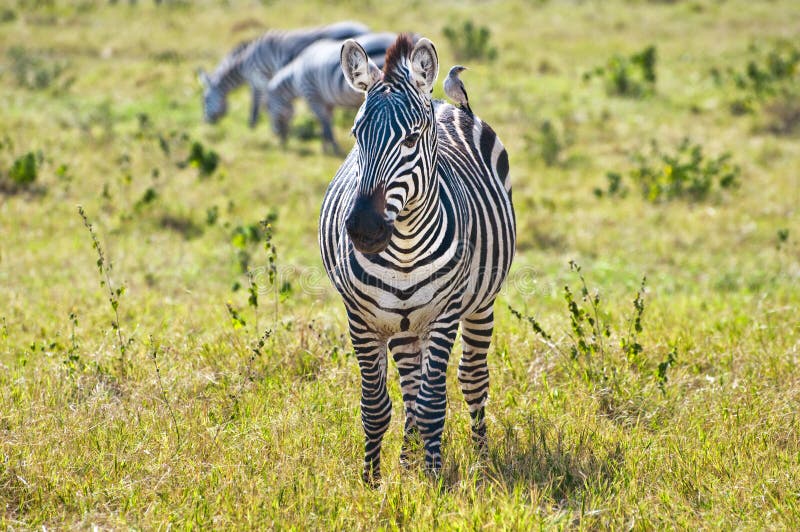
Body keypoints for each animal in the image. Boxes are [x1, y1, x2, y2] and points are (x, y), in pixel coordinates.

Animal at [198, 21, 369, 128]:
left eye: (204, 99)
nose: (206, 122)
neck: (245, 62)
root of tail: (363, 28)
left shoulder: (259, 75)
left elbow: (257, 100)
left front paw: (253, 123)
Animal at [266, 32, 400, 154]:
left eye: (269, 108)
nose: (280, 141)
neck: (296, 77)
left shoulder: (312, 96)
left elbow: (325, 125)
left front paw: (334, 150)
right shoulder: (327, 103)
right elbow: (327, 124)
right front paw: (325, 148)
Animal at [319, 34, 515, 483]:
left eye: (410, 139)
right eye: (356, 135)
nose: (364, 230)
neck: (405, 247)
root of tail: (446, 103)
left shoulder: (445, 315)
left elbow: (432, 404)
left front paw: (435, 479)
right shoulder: (361, 319)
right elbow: (376, 408)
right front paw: (373, 482)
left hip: (480, 305)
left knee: (471, 379)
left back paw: (480, 458)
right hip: (405, 324)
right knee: (410, 387)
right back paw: (408, 461)